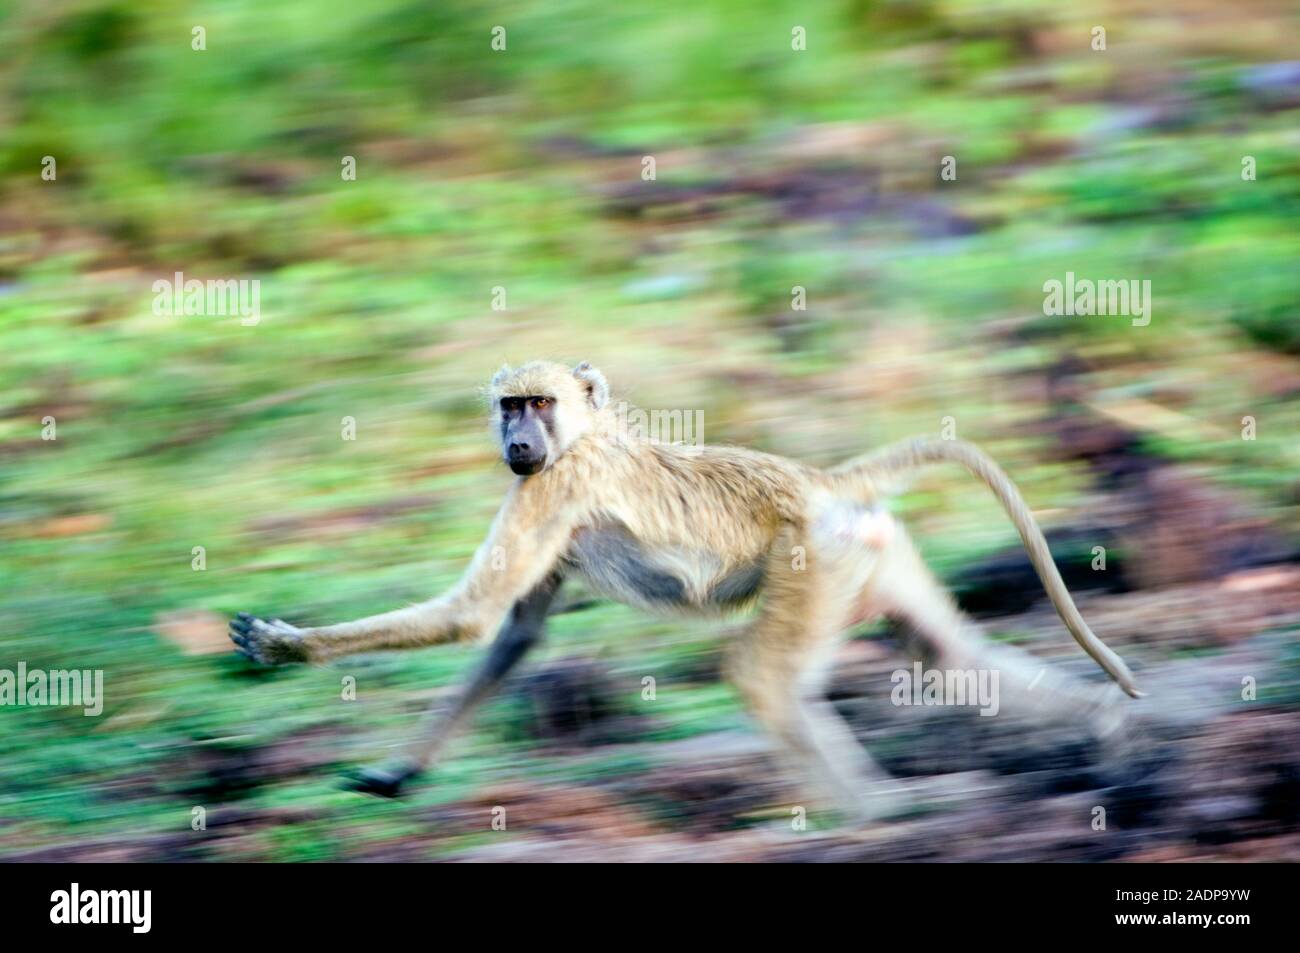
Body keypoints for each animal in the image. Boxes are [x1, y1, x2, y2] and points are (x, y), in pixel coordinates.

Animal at [230, 359, 1141, 820]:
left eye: (538, 403)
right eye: (508, 404)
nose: (517, 441)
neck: (590, 432)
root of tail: (821, 480)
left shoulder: (551, 486)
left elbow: (472, 616)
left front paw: (283, 644)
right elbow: (514, 634)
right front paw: (396, 774)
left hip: (813, 555)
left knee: (761, 675)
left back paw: (873, 815)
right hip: (866, 551)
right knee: (948, 655)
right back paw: (1101, 727)